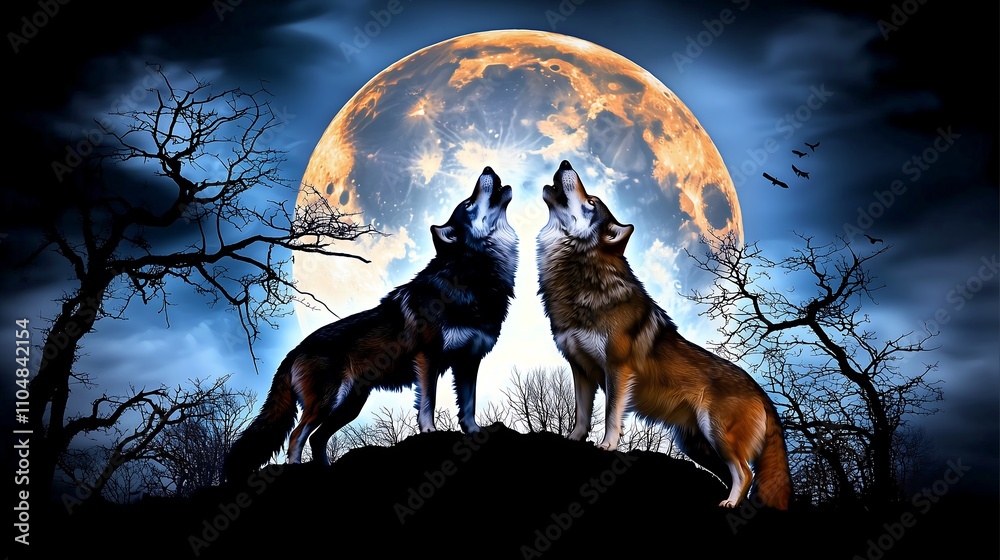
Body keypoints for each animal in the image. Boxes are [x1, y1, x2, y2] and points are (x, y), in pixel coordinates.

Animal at [224, 166, 518, 481]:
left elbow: (469, 406)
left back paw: (327, 472)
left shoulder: (468, 361)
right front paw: (429, 432)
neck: (473, 278)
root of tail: (293, 351)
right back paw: (296, 470)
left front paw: (474, 432)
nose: (487, 169)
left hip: (349, 406)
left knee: (316, 438)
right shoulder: (428, 358)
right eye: (468, 203)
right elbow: (428, 403)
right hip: (328, 402)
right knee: (297, 436)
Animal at [536, 160, 791, 510]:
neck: (581, 279)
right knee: (733, 474)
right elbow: (581, 414)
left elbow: (611, 416)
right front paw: (574, 440)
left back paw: (728, 504)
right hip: (696, 447)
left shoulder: (617, 369)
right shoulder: (581, 369)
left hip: (716, 435)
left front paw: (607, 446)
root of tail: (763, 393)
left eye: (592, 202)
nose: (564, 163)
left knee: (746, 472)